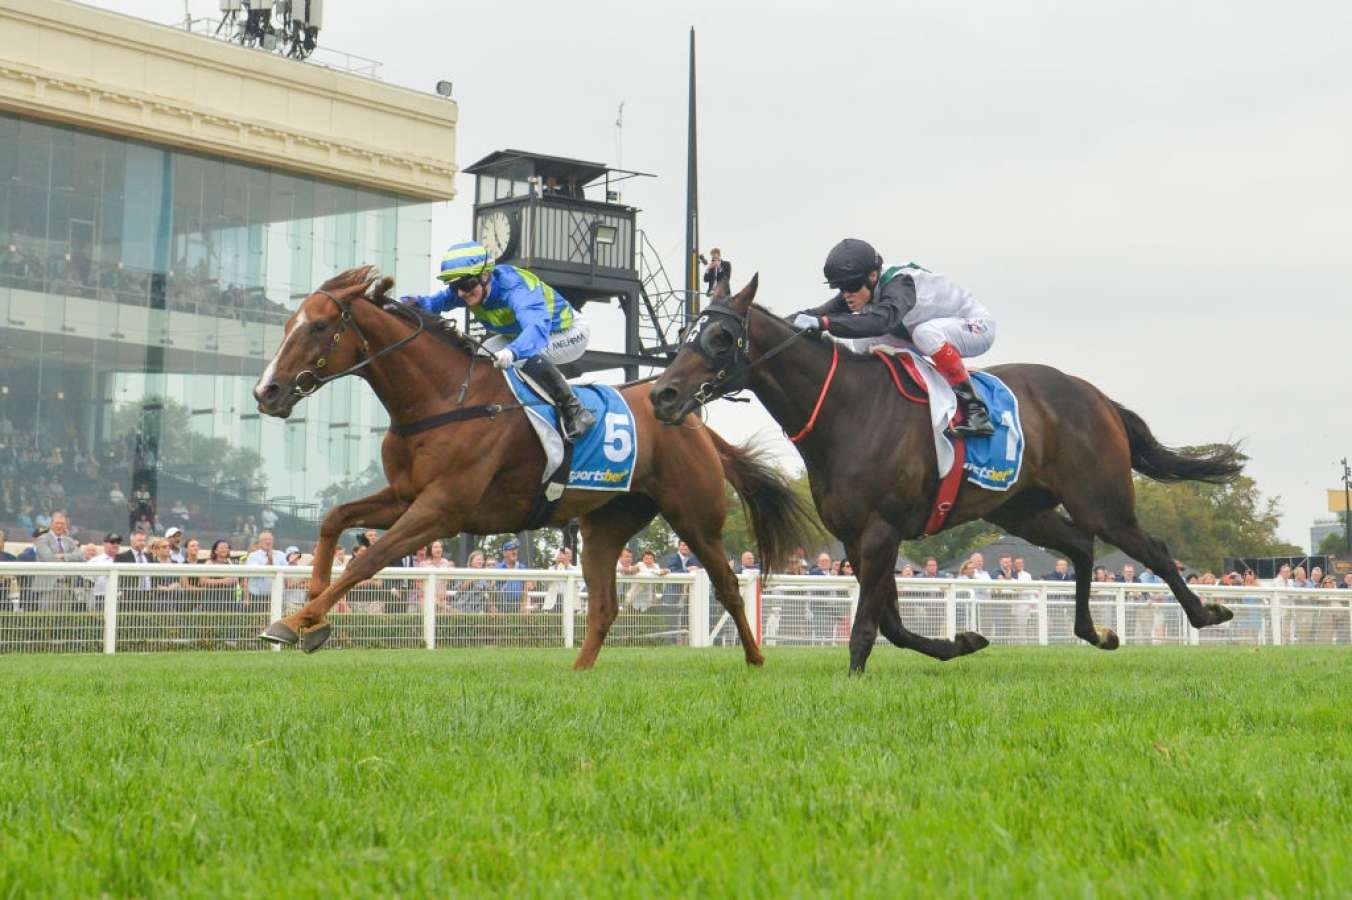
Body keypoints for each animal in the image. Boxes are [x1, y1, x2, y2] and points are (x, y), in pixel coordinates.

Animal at [250, 266, 816, 667]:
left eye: (318, 326)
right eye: (288, 324)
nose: (266, 391)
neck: (445, 398)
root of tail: (691, 418)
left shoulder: (442, 509)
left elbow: (368, 559)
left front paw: (296, 620)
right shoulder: (407, 496)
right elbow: (334, 521)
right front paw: (311, 620)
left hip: (695, 518)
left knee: (728, 586)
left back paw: (756, 660)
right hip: (606, 524)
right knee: (605, 605)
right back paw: (578, 674)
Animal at [649, 277, 1245, 674]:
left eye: (721, 337)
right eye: (685, 332)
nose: (663, 395)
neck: (847, 411)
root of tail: (1096, 395)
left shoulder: (882, 529)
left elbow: (868, 623)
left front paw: (853, 677)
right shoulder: (855, 536)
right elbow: (889, 620)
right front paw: (961, 643)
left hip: (1102, 501)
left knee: (1153, 549)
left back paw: (1206, 612)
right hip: (1021, 510)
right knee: (1080, 547)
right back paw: (1095, 633)